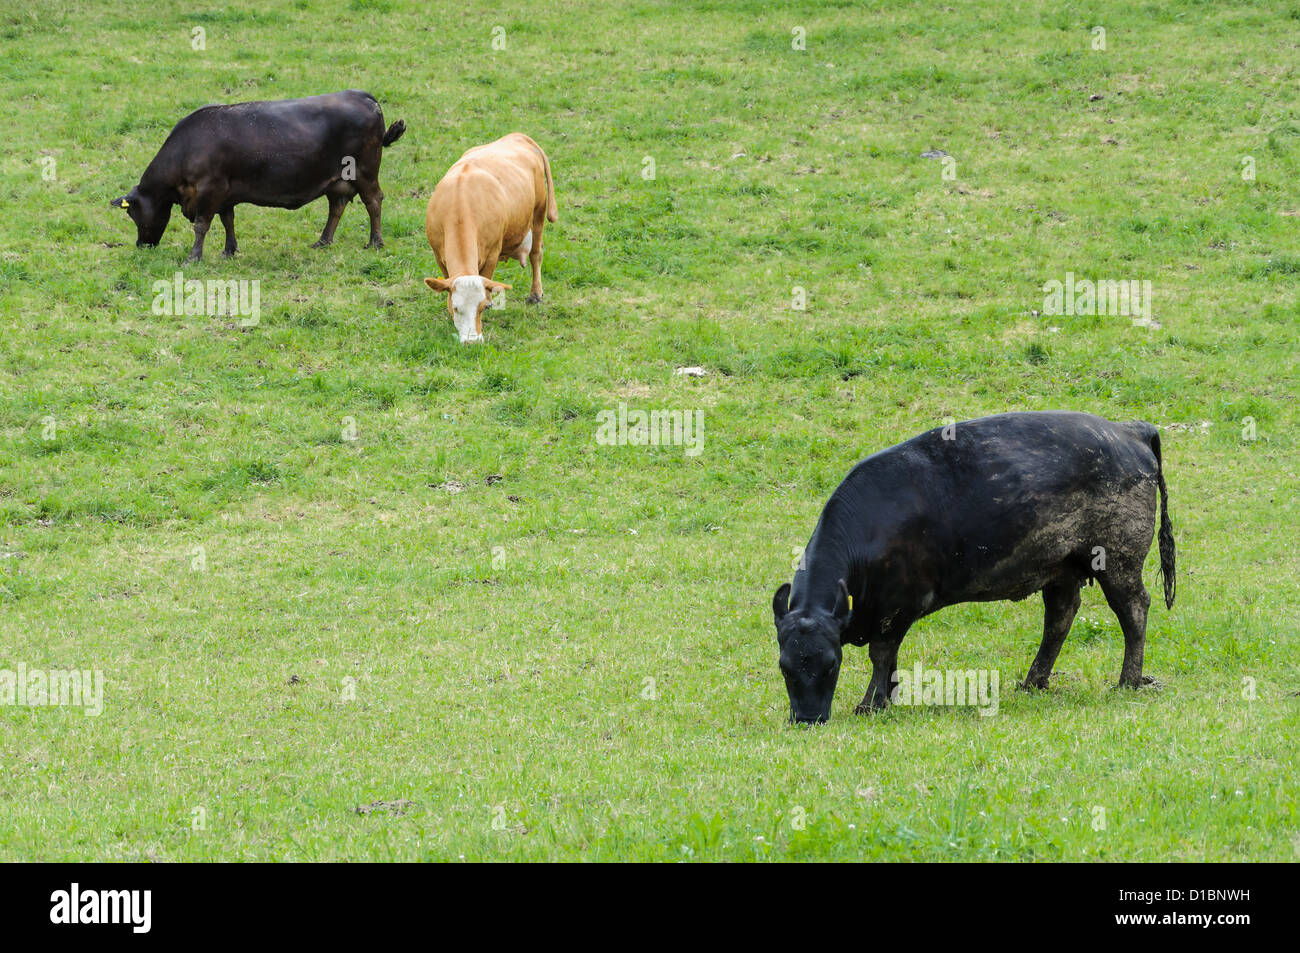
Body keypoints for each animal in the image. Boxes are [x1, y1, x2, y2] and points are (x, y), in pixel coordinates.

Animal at [110, 90, 405, 262]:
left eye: (132, 213)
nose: (141, 245)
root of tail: (362, 96)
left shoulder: (209, 191)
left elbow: (202, 225)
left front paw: (194, 257)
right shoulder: (225, 194)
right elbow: (228, 221)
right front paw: (229, 250)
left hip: (365, 172)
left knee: (373, 201)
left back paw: (375, 242)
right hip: (337, 181)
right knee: (337, 207)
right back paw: (322, 241)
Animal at [423, 133, 558, 344]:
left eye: (481, 307)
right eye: (456, 308)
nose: (472, 341)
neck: (459, 205)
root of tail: (519, 136)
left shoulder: (492, 254)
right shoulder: (439, 255)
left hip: (539, 213)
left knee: (536, 255)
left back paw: (535, 294)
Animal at [772, 411, 1176, 724]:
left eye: (831, 665)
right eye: (785, 668)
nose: (807, 719)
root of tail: (1128, 429)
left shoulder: (895, 608)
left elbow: (881, 655)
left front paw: (870, 703)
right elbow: (890, 659)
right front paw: (886, 697)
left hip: (1118, 559)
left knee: (1133, 609)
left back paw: (1128, 680)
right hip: (1061, 567)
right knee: (1060, 617)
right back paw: (1034, 682)